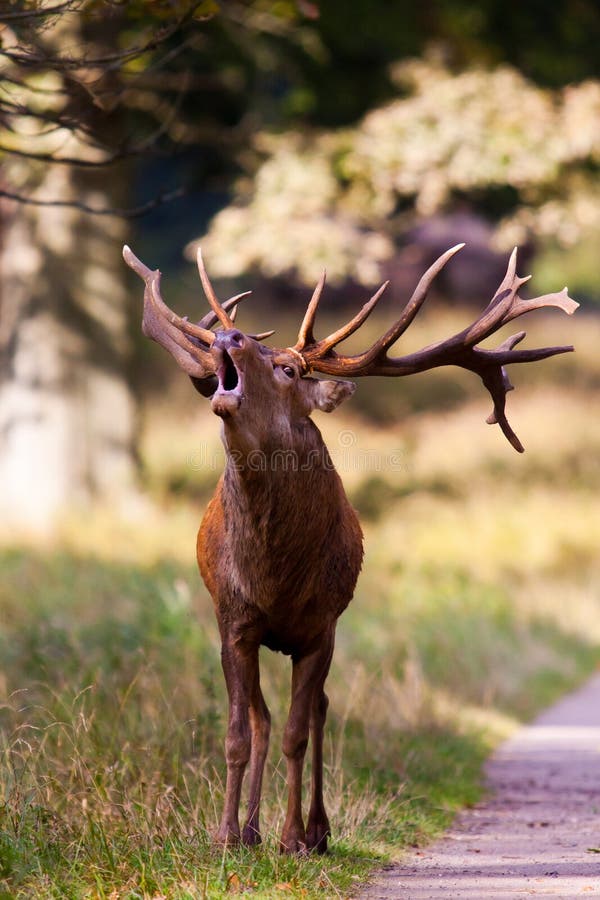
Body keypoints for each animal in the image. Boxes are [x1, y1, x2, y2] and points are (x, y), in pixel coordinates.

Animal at [123, 242, 577, 854]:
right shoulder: (234, 621)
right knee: (264, 718)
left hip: (330, 628)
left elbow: (298, 731)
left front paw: (294, 837)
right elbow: (238, 732)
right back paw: (251, 829)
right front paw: (225, 837)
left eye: (289, 368)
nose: (229, 337)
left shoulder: (321, 626)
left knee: (316, 711)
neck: (275, 574)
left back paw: (314, 830)